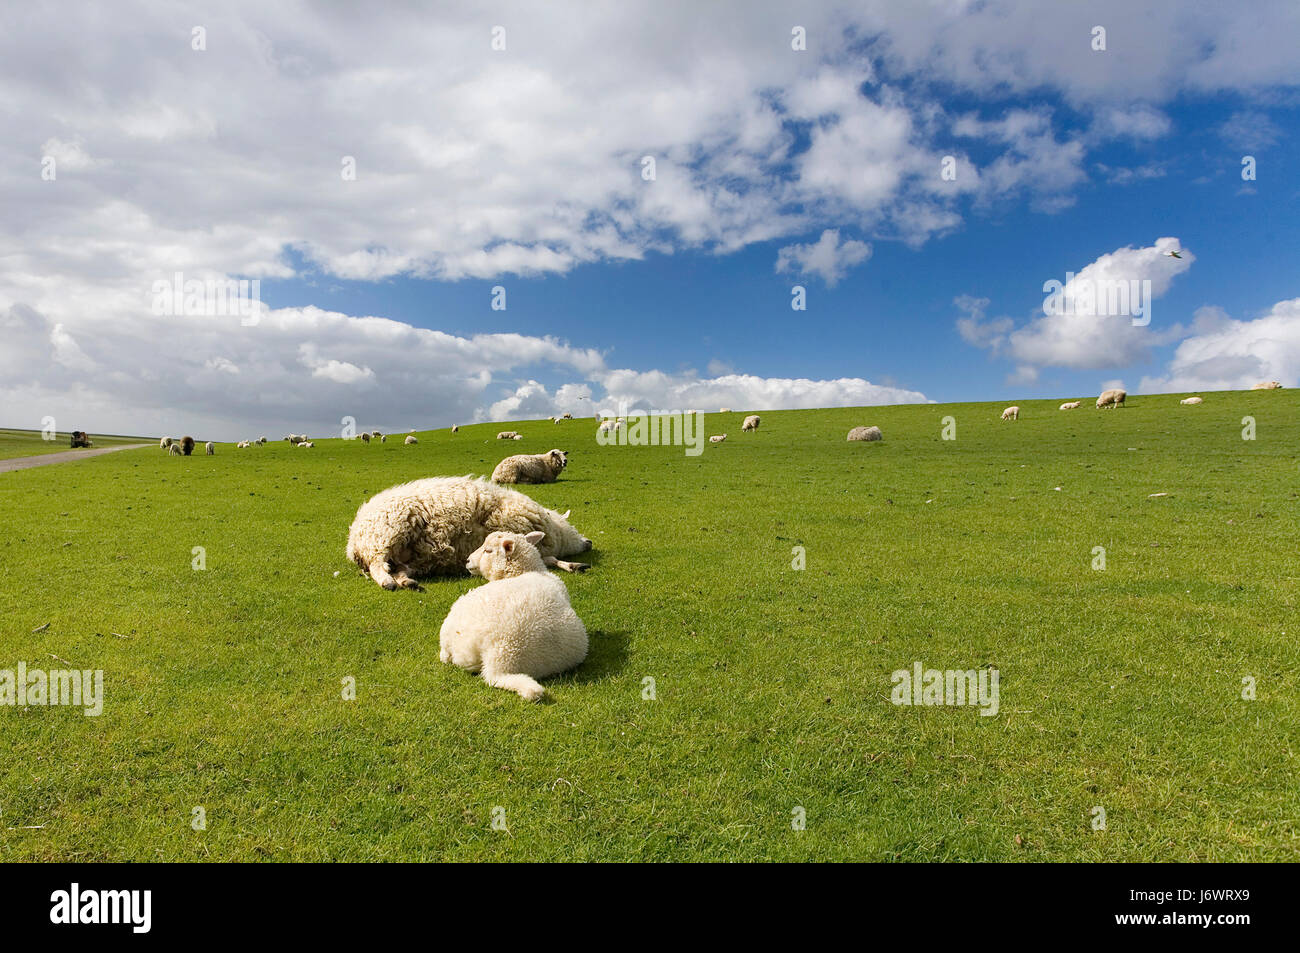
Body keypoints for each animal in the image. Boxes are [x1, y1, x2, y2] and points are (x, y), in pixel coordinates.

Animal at [345, 475, 593, 590]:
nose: (589, 542)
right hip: (385, 535)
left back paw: (407, 582)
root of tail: (353, 541)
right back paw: (387, 582)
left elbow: (549, 559)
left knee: (398, 568)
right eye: (574, 528)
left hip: (406, 557)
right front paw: (571, 564)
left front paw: (573, 565)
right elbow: (547, 558)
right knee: (377, 564)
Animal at [439, 530, 587, 702]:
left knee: (493, 677)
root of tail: (490, 650)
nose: (467, 560)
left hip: (502, 653)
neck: (529, 571)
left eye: (488, 550)